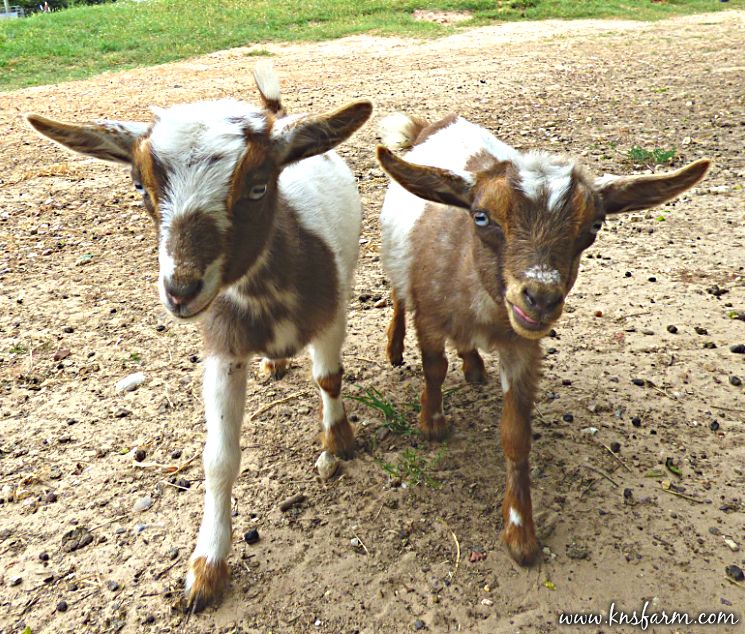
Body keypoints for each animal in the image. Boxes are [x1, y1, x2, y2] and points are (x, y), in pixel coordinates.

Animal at [25, 63, 372, 610]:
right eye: (139, 185)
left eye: (258, 185)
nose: (181, 290)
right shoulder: (222, 346)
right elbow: (218, 460)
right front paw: (207, 569)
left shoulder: (332, 313)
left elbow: (329, 378)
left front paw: (339, 439)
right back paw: (273, 364)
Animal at [376, 112, 709, 565]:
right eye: (481, 217)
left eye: (594, 226)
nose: (540, 298)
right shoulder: (429, 316)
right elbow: (434, 368)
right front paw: (432, 424)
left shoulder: (522, 346)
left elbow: (516, 436)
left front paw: (521, 533)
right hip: (399, 267)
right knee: (397, 298)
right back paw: (396, 349)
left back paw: (474, 365)